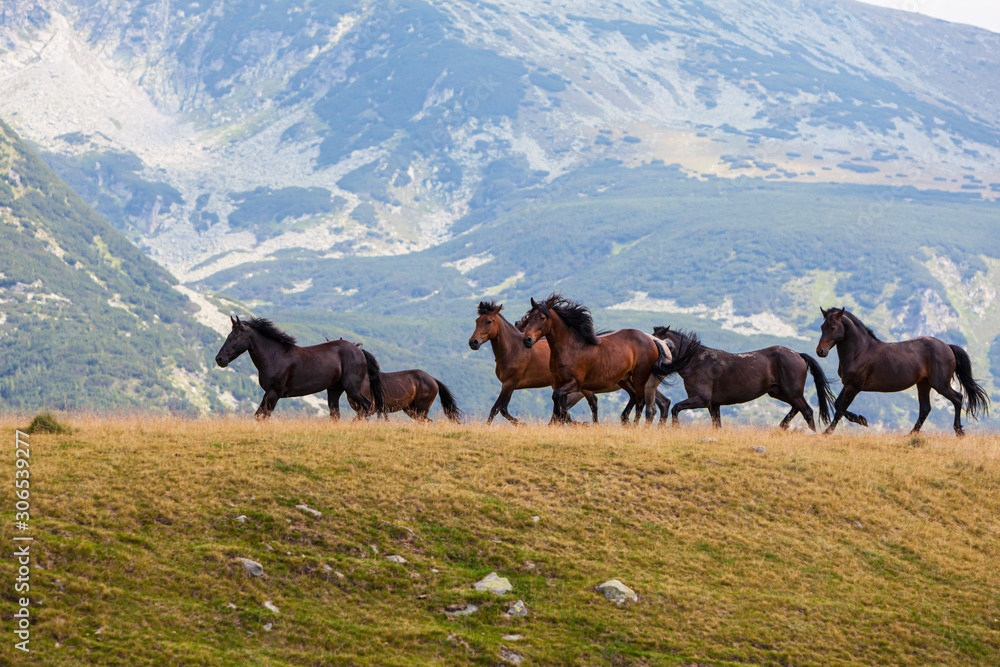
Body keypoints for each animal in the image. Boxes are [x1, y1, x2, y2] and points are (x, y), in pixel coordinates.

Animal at [215, 316, 385, 420]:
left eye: (234, 337)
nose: (220, 359)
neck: (275, 356)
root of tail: (359, 351)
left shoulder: (274, 393)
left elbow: (263, 416)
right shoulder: (268, 393)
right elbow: (259, 415)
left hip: (352, 388)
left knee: (366, 406)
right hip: (334, 390)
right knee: (336, 414)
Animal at [469, 300, 670, 424]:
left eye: (489, 321)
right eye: (477, 320)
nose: (473, 342)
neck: (513, 349)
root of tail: (652, 340)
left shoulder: (511, 383)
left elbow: (497, 408)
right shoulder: (520, 384)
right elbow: (504, 408)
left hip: (638, 379)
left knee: (644, 403)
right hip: (623, 379)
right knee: (633, 400)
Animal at [651, 326, 862, 431]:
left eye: (655, 341)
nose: (652, 366)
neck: (695, 361)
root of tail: (799, 355)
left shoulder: (701, 400)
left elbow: (676, 408)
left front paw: (675, 428)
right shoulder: (714, 405)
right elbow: (717, 425)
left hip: (791, 392)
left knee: (807, 411)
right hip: (778, 392)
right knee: (797, 409)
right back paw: (782, 426)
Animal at [816, 307, 989, 436]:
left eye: (833, 327)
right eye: (822, 327)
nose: (820, 351)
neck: (860, 351)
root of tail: (947, 347)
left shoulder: (854, 387)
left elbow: (840, 410)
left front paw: (827, 432)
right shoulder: (847, 385)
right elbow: (838, 404)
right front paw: (861, 419)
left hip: (940, 385)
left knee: (957, 399)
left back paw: (958, 431)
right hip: (924, 384)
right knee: (925, 409)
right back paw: (910, 434)